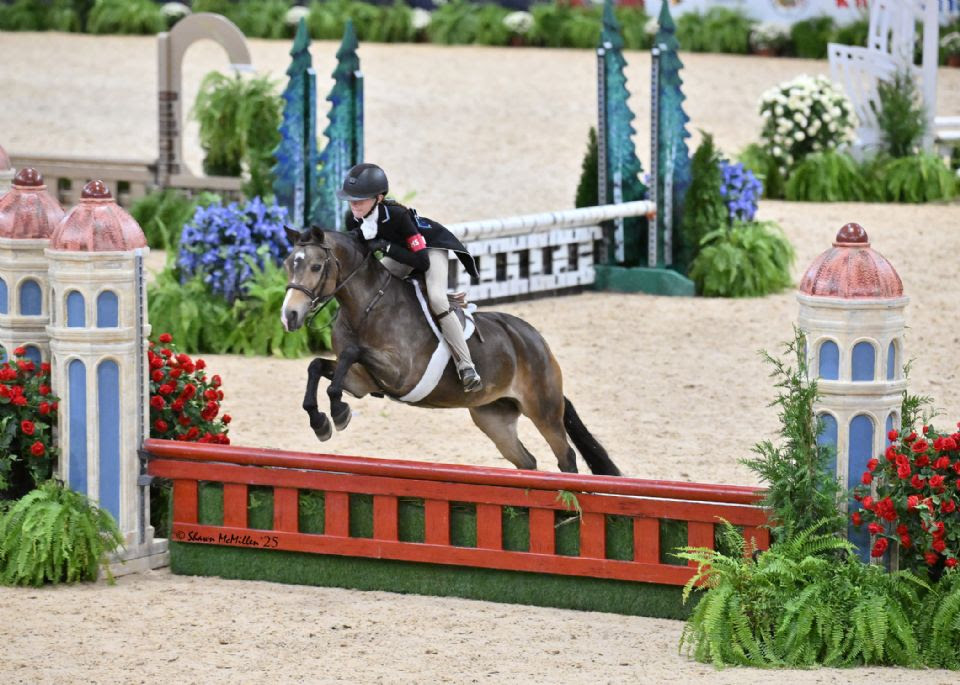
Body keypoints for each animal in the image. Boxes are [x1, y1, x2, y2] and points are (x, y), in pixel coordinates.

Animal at [280, 226, 621, 476]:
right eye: (287, 264)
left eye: (315, 266)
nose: (290, 316)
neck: (364, 308)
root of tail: (537, 343)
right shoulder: (363, 381)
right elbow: (318, 366)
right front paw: (321, 421)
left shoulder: (400, 373)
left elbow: (351, 354)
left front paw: (338, 412)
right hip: (493, 418)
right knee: (527, 461)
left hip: (544, 410)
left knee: (566, 457)